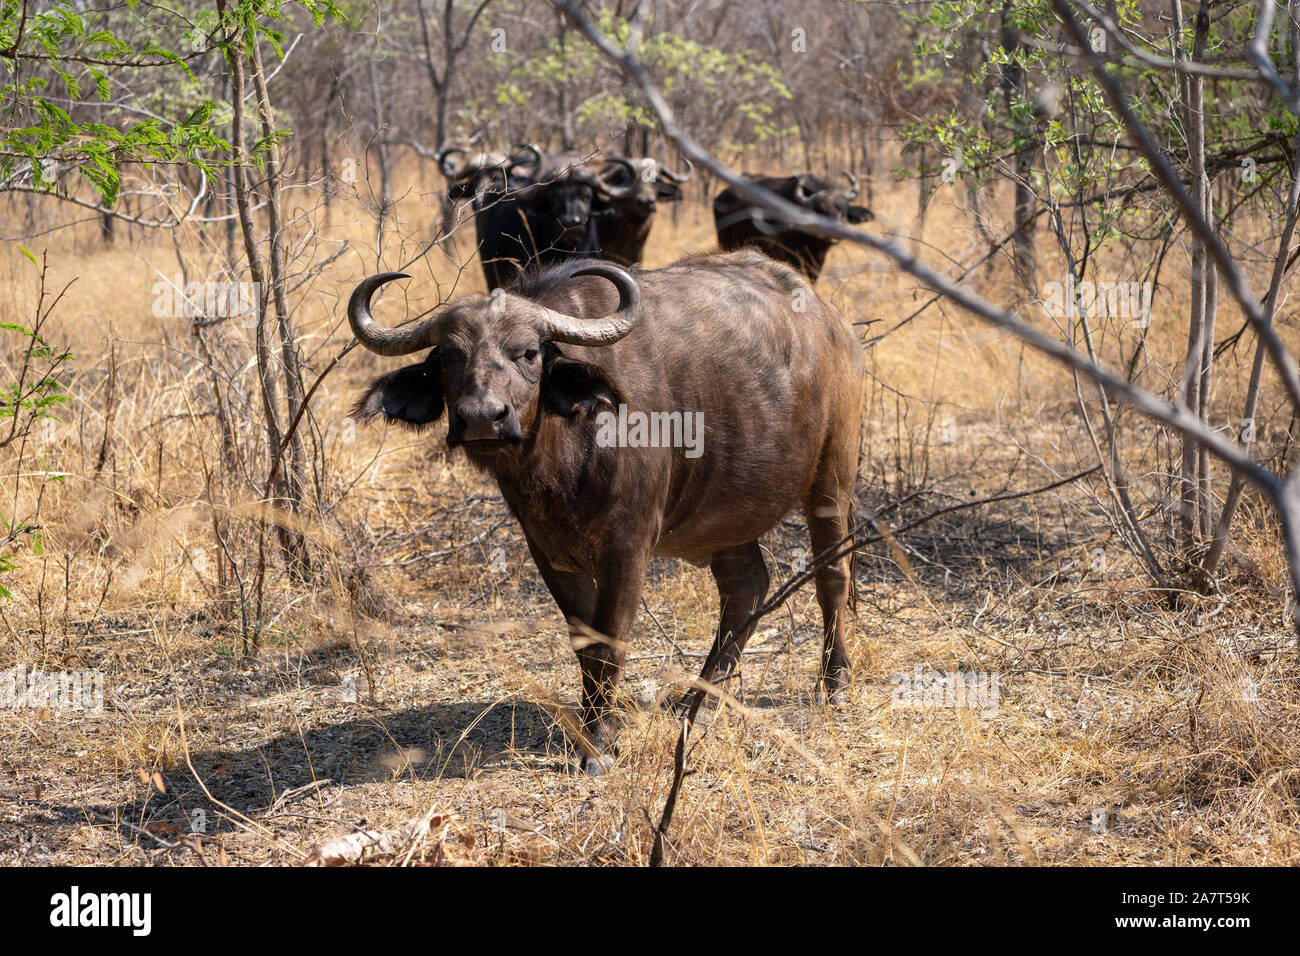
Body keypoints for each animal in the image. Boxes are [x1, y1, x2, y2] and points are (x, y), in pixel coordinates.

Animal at [348, 251, 864, 773]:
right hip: (726, 518)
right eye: (447, 357)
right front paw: (597, 731)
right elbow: (586, 644)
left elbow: (611, 640)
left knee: (832, 575)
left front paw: (597, 745)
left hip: (833, 477)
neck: (566, 451)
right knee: (747, 587)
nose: (482, 418)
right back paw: (700, 700)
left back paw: (834, 681)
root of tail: (831, 321)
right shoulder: (548, 552)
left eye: (528, 353)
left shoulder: (627, 547)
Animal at [713, 173, 872, 280]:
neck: (813, 244)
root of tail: (721, 196)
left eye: (844, 210)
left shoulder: (816, 264)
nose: (836, 231)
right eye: (820, 210)